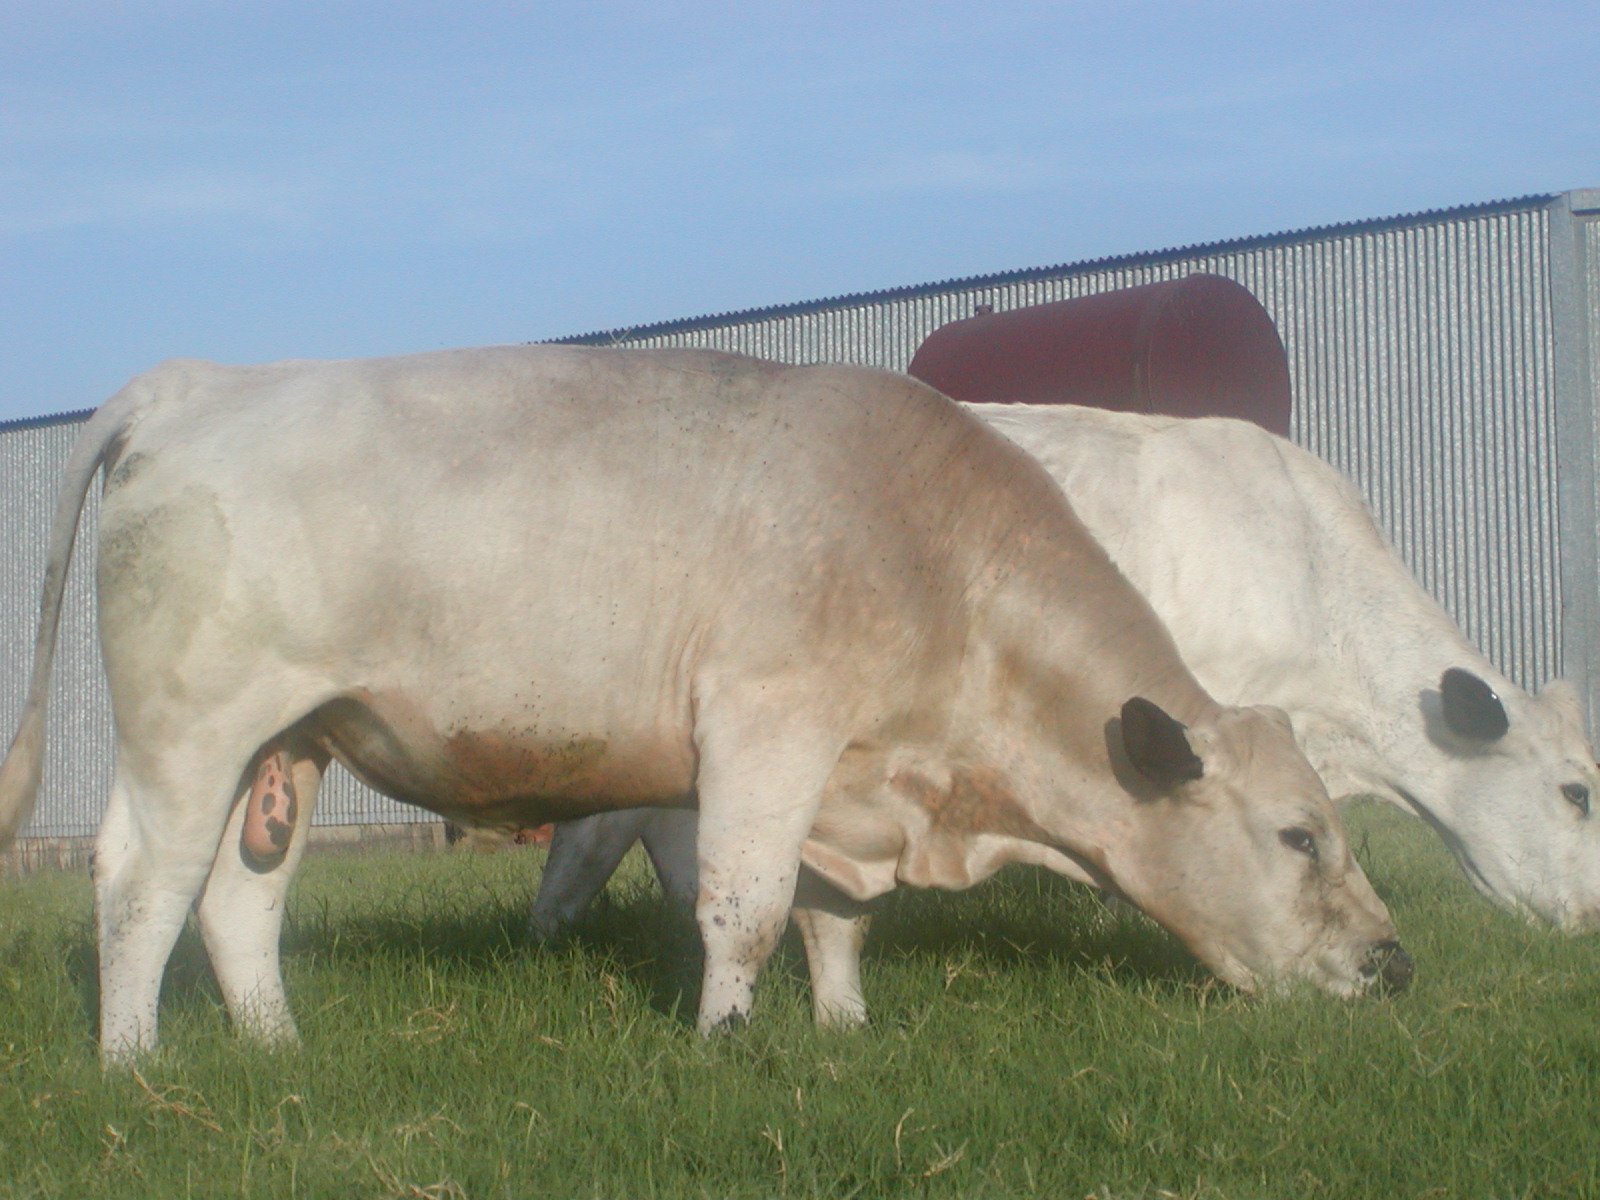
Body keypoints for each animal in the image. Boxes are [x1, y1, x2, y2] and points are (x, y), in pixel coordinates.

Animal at [0, 346, 1405, 1062]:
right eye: (1300, 836)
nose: (1392, 962)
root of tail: (199, 379)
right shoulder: (768, 727)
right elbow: (747, 905)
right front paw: (728, 1043)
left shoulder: (848, 774)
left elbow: (833, 920)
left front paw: (842, 1028)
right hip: (189, 728)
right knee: (141, 881)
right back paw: (133, 1061)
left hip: (288, 744)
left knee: (242, 900)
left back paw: (279, 1049)